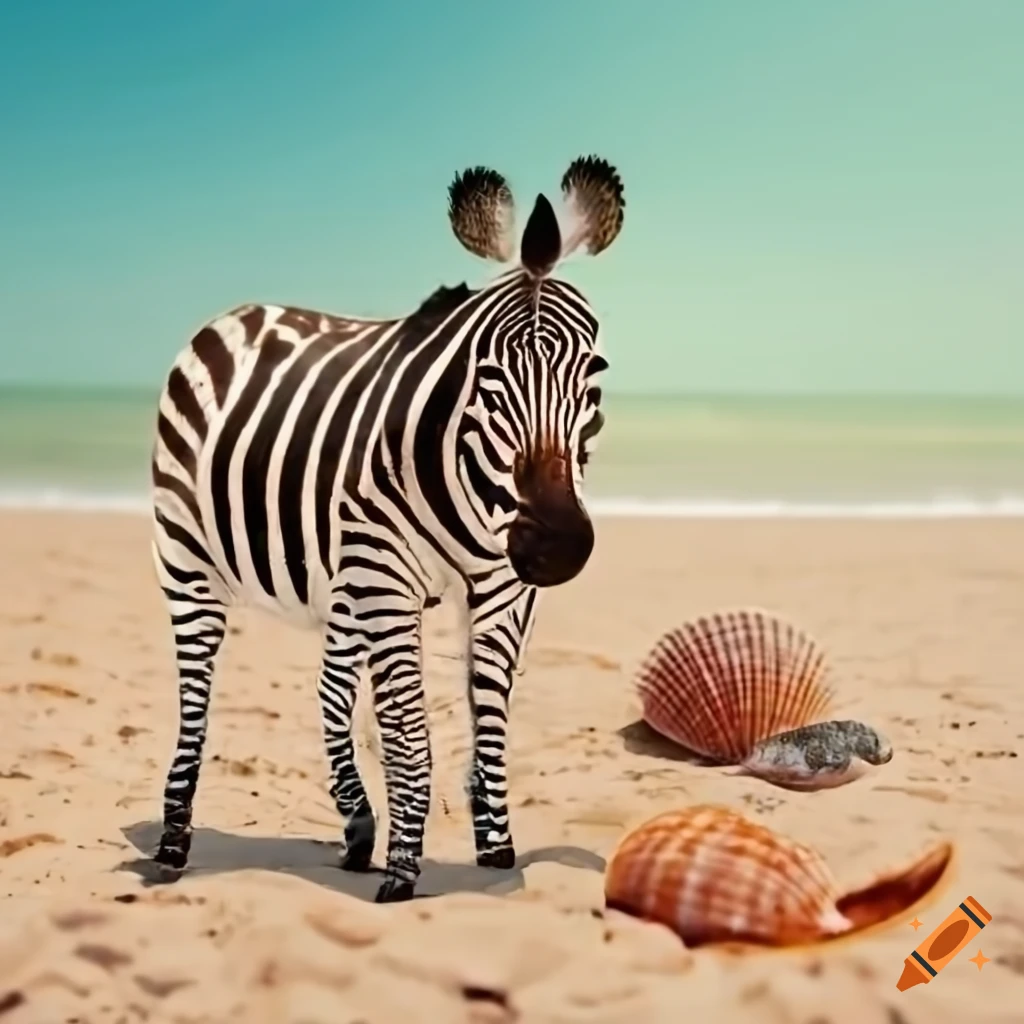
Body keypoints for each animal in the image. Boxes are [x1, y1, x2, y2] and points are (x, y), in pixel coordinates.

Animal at [149, 154, 626, 902]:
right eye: (487, 377)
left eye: (595, 370)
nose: (554, 545)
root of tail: (237, 312)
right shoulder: (388, 577)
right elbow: (407, 731)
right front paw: (405, 866)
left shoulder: (502, 588)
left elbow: (491, 718)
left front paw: (494, 844)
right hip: (188, 557)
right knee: (195, 692)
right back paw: (174, 839)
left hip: (346, 582)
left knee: (330, 691)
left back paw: (357, 827)